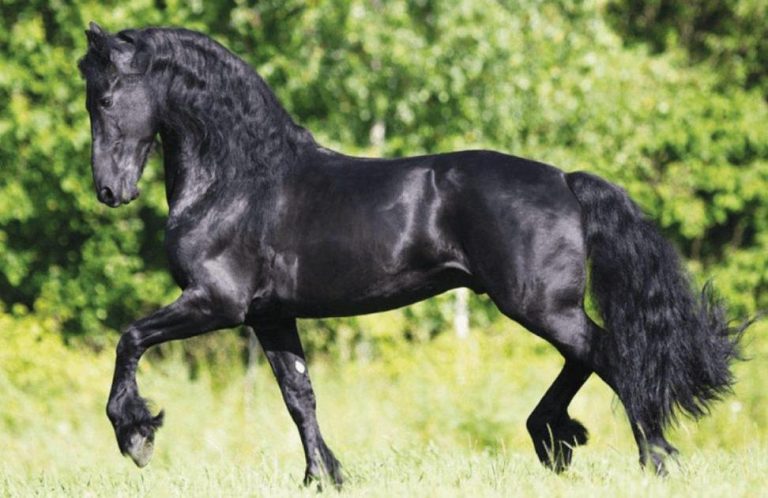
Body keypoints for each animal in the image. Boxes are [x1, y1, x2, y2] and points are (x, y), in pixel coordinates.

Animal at [78, 22, 743, 486]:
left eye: (105, 99)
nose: (110, 191)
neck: (239, 182)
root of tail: (564, 179)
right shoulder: (270, 316)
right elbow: (299, 397)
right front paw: (323, 476)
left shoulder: (215, 304)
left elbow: (129, 339)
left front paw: (136, 436)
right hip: (543, 306)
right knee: (588, 356)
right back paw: (556, 437)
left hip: (536, 304)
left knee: (608, 354)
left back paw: (649, 456)